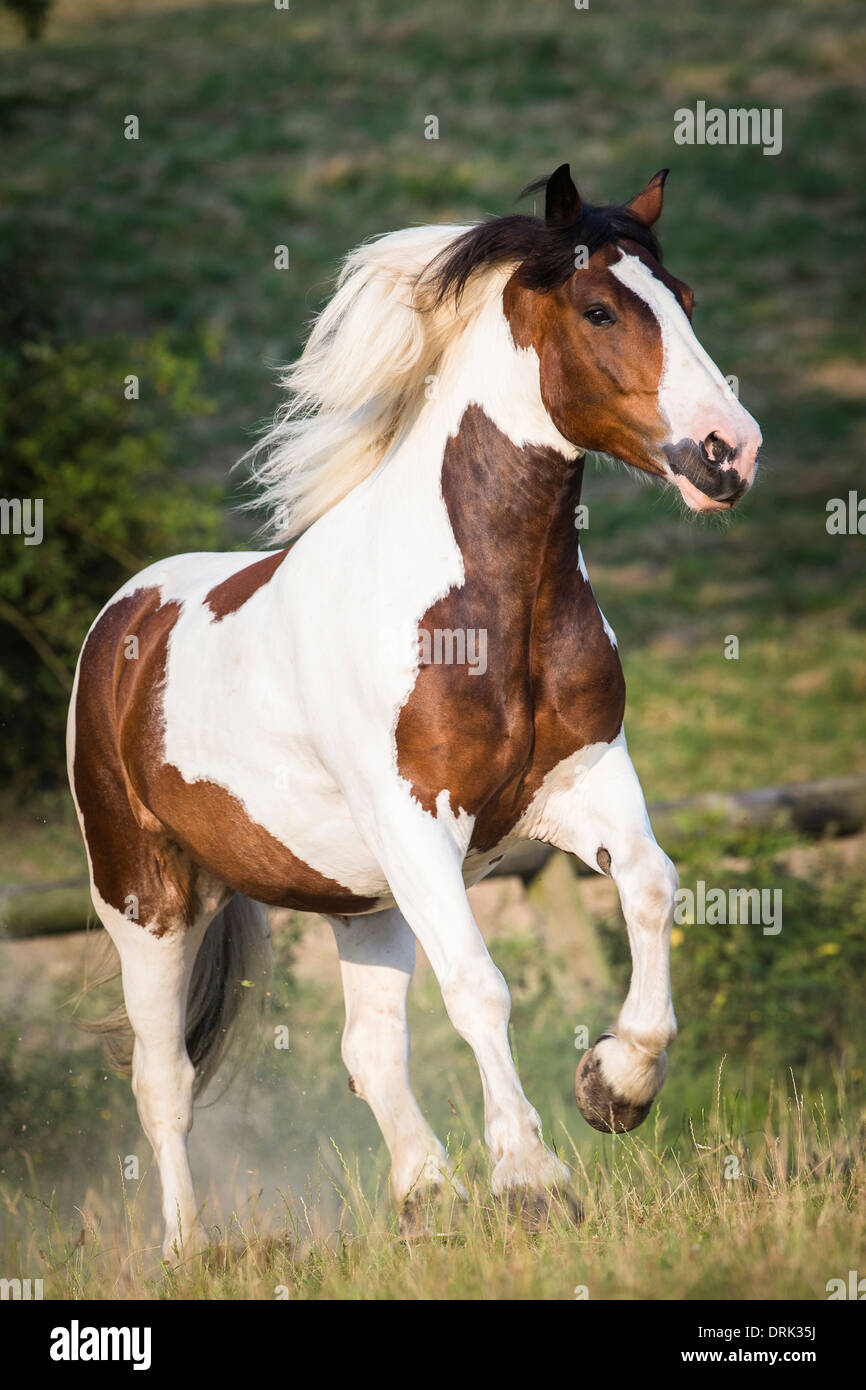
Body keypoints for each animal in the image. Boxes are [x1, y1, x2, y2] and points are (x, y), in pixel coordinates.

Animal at [67, 163, 761, 1258]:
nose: (729, 453)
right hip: (148, 899)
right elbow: (479, 986)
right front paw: (532, 1179)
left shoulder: (581, 784)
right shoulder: (417, 821)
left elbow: (652, 887)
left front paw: (613, 1086)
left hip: (363, 897)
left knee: (369, 1049)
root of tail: (124, 618)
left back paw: (428, 1195)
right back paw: (188, 1248)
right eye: (600, 309)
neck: (484, 609)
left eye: (683, 299)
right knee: (163, 1078)